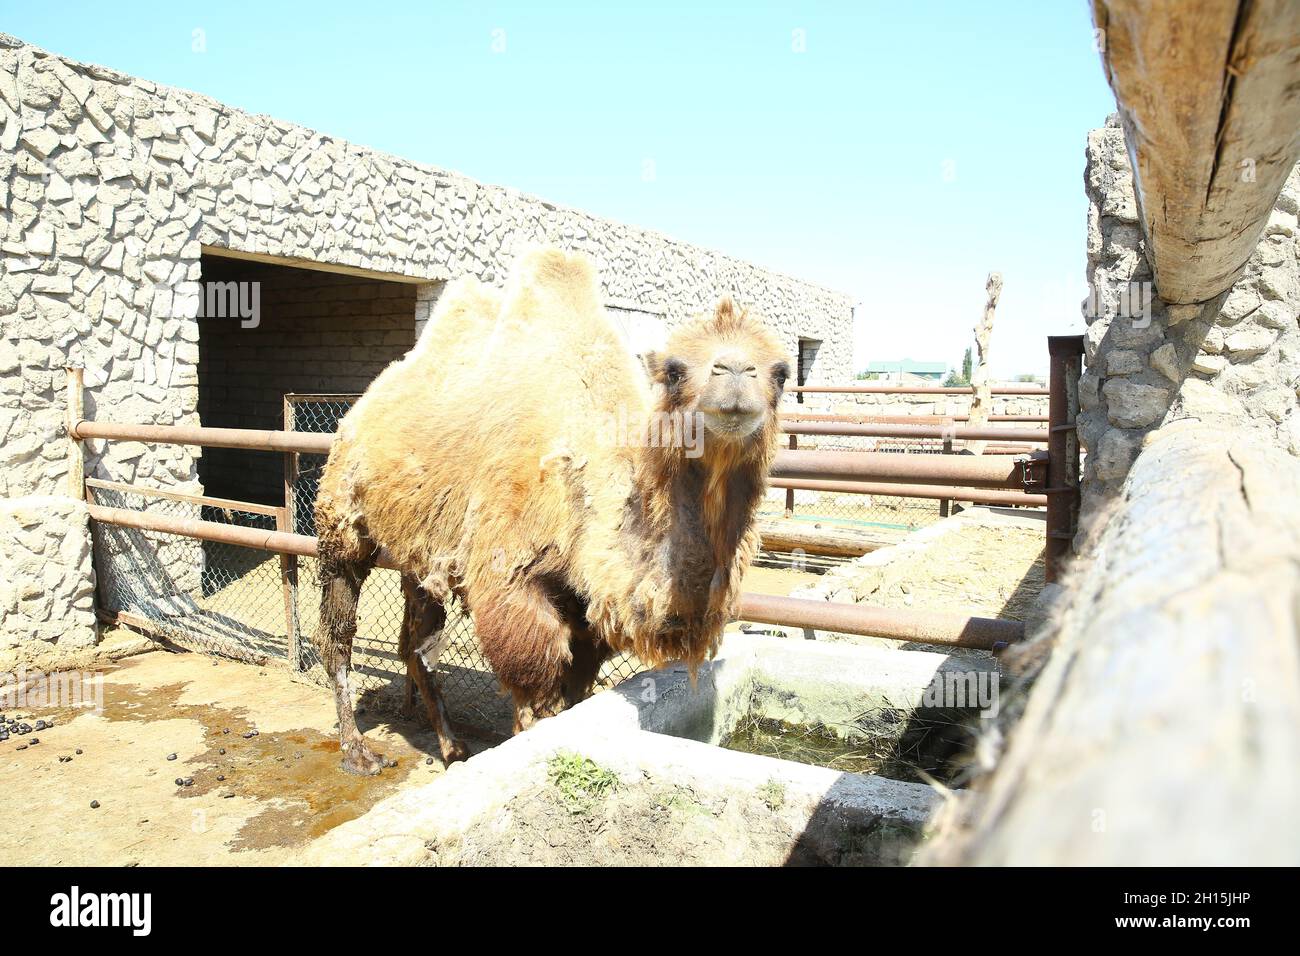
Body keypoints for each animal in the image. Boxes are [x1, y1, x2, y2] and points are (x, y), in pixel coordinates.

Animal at [314, 248, 791, 774]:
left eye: (782, 373)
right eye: (674, 370)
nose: (736, 375)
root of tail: (362, 406)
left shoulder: (587, 609)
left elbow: (574, 693)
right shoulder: (510, 579)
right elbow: (536, 691)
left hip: (420, 553)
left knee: (415, 644)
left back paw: (452, 747)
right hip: (341, 519)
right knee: (337, 634)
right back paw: (359, 752)